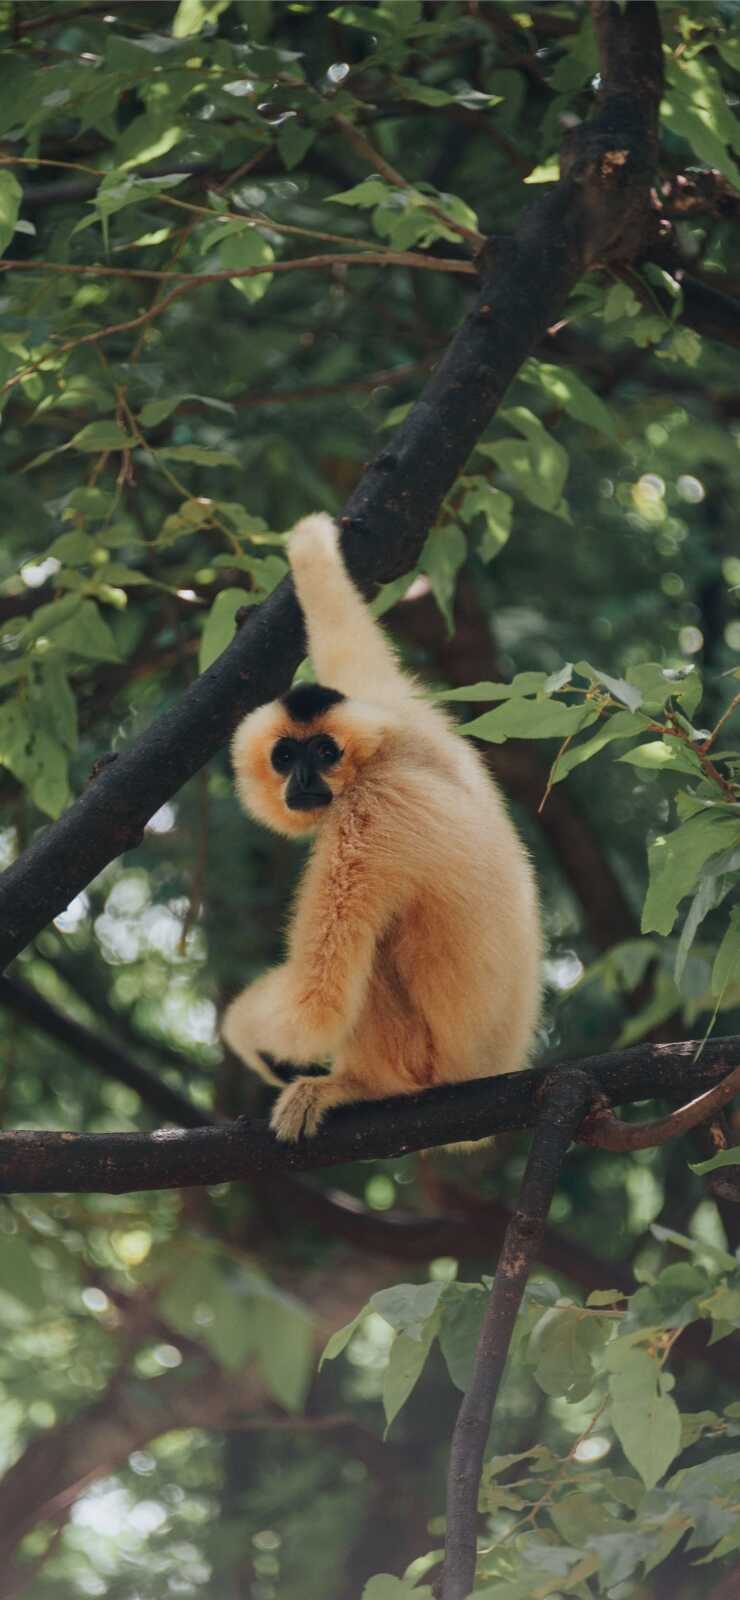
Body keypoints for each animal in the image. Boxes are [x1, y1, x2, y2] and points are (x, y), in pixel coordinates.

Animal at [221, 513, 542, 1143]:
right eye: (285, 756)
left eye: (324, 751)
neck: (383, 761)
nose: (304, 777)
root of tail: (492, 1068)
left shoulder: (365, 825)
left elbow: (317, 1004)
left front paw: (245, 1032)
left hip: (421, 1060)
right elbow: (352, 643)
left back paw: (352, 1086)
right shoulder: (399, 710)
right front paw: (313, 547)